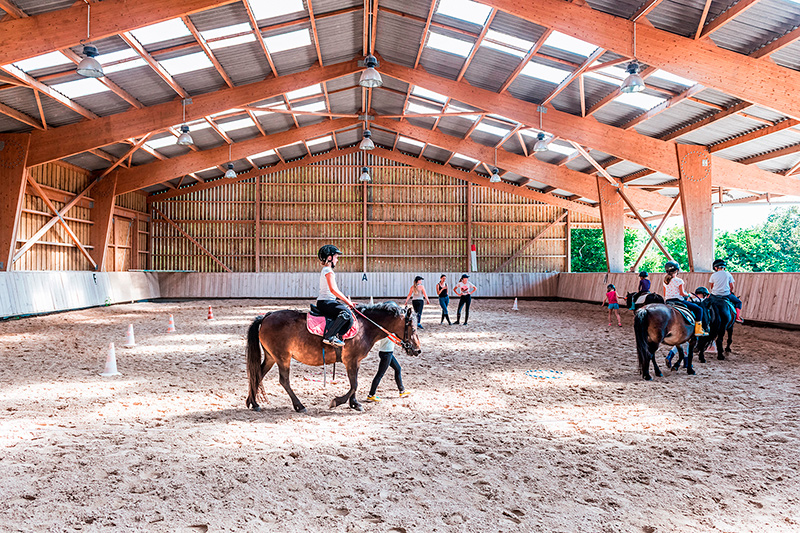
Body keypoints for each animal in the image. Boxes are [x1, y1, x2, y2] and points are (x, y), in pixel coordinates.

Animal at [245, 304, 422, 412]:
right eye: (413, 328)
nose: (418, 350)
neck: (365, 326)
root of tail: (266, 316)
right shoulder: (351, 360)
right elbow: (354, 384)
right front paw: (338, 401)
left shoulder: (355, 362)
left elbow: (354, 383)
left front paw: (354, 403)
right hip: (282, 358)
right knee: (284, 381)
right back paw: (299, 405)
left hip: (271, 357)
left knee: (257, 375)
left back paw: (253, 403)